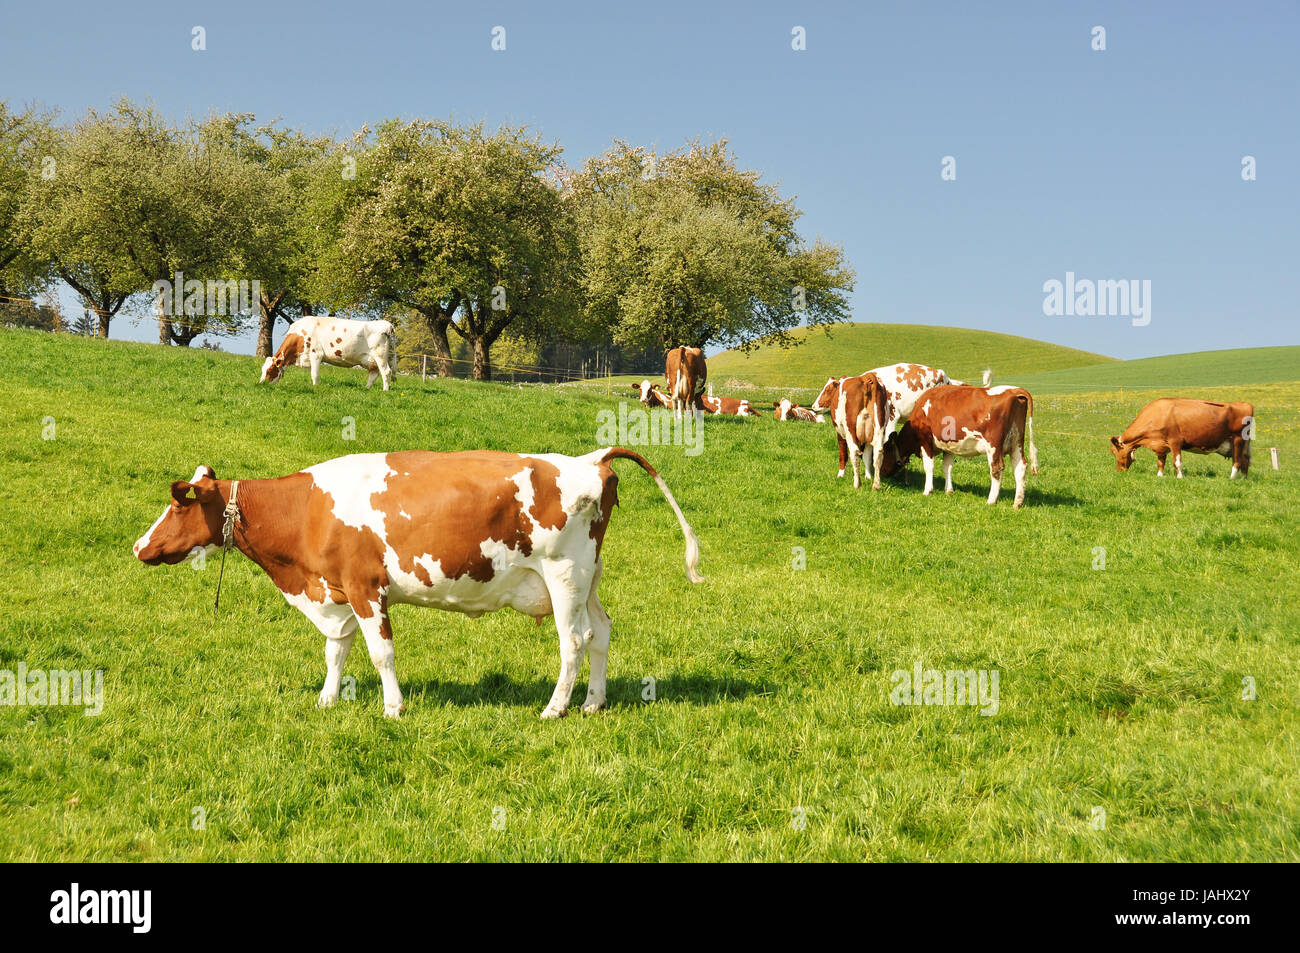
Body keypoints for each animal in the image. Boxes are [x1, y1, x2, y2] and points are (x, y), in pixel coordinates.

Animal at [134, 448, 704, 720]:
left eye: (177, 505)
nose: (139, 546)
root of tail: (590, 459)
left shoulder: (365, 587)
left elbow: (380, 653)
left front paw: (393, 708)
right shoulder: (337, 592)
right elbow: (336, 651)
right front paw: (327, 700)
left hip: (565, 575)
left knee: (574, 642)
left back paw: (555, 708)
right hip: (589, 579)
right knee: (602, 632)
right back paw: (592, 702)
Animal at [260, 315, 395, 391]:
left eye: (270, 370)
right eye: (263, 369)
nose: (261, 384)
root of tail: (387, 324)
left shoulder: (316, 354)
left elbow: (314, 374)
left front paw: (315, 387)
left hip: (380, 355)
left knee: (386, 372)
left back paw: (385, 390)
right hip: (370, 360)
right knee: (374, 374)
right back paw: (366, 389)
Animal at [812, 363, 959, 489]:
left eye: (828, 389)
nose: (813, 406)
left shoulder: (842, 432)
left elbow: (844, 453)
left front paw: (841, 474)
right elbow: (868, 454)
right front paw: (869, 476)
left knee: (855, 452)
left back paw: (858, 483)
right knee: (877, 451)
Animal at [884, 385, 1032, 508]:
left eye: (884, 454)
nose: (882, 474)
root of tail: (1013, 390)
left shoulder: (925, 441)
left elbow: (929, 466)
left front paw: (927, 491)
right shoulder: (949, 446)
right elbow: (947, 467)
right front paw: (949, 490)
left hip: (993, 446)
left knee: (996, 468)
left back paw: (991, 500)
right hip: (1017, 443)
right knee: (1020, 467)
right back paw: (1017, 503)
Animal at [1109, 398, 1254, 478]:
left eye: (1116, 451)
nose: (1119, 471)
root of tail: (1246, 404)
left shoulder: (1175, 441)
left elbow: (1177, 462)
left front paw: (1180, 477)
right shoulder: (1161, 445)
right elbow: (1160, 462)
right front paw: (1160, 476)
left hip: (1238, 439)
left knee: (1237, 462)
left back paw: (1232, 478)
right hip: (1244, 443)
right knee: (1245, 460)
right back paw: (1243, 479)